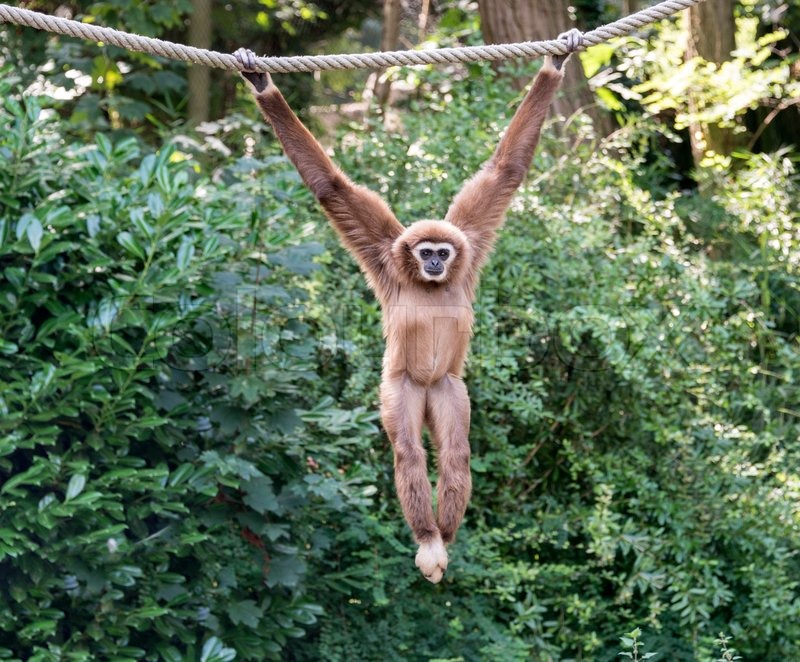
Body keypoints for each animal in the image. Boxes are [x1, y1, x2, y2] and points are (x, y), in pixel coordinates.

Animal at [235, 33, 576, 583]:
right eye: (425, 253)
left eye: (444, 253)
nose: (435, 262)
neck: (427, 280)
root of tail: (429, 386)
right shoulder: (385, 254)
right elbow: (331, 187)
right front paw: (261, 83)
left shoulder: (470, 243)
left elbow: (506, 171)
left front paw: (555, 63)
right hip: (402, 387)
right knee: (409, 450)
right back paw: (429, 538)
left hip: (448, 389)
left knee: (455, 450)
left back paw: (445, 534)